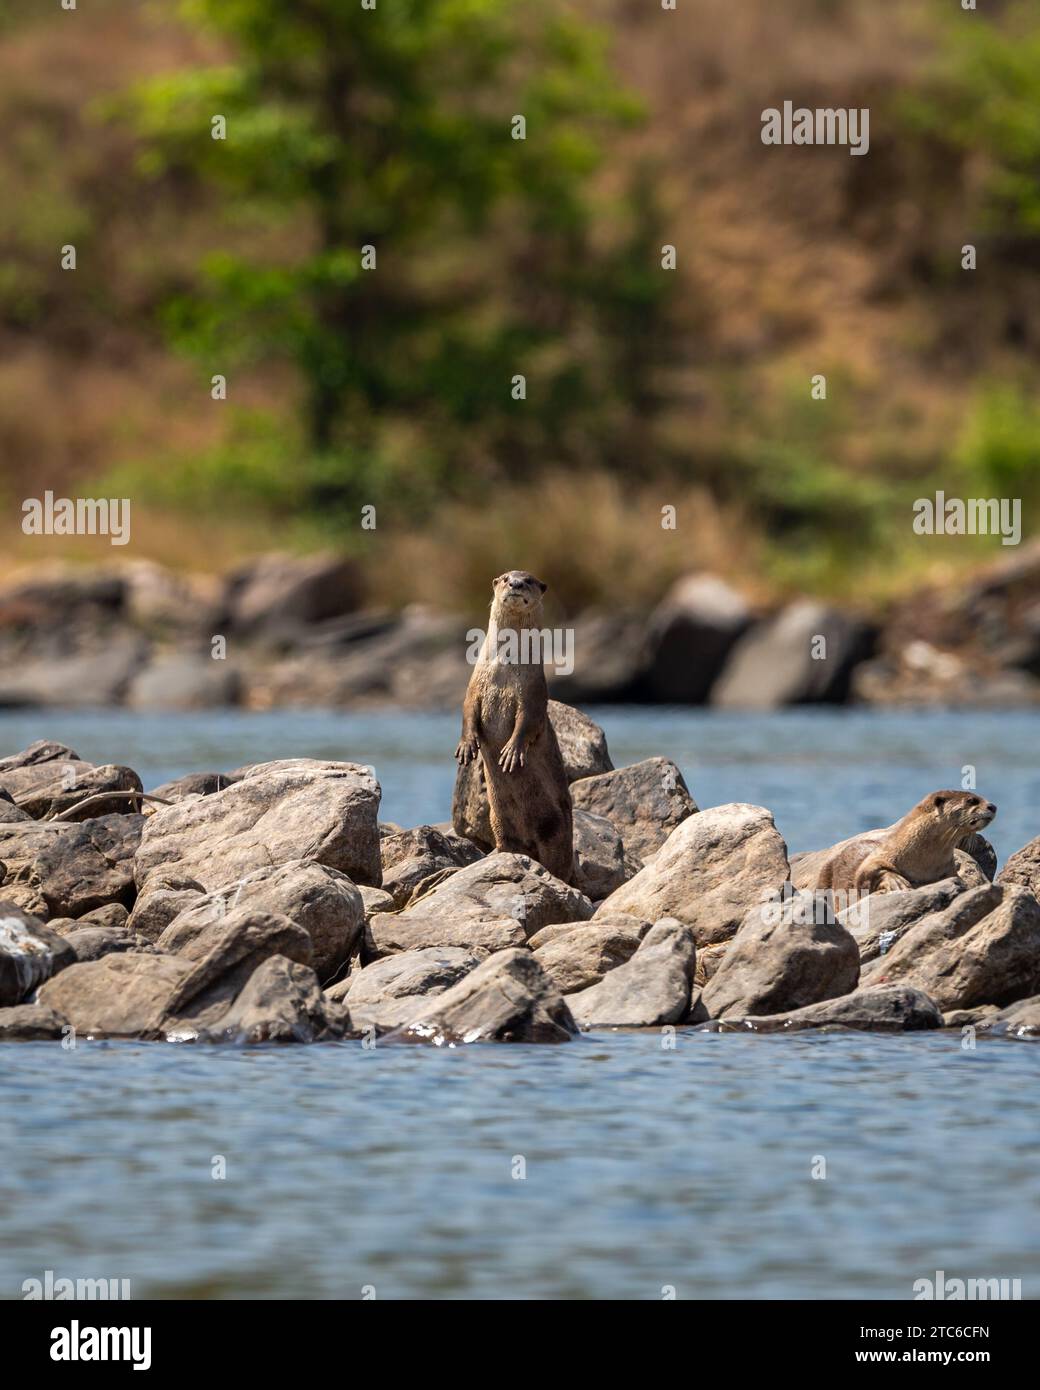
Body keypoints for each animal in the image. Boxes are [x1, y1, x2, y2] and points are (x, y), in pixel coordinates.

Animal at [455, 570, 573, 882]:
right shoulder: (475, 686)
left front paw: (511, 751)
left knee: (557, 857)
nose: (516, 584)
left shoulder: (532, 692)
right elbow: (467, 712)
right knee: (507, 840)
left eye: (529, 580)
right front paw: (467, 746)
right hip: (498, 818)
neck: (505, 669)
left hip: (555, 826)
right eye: (506, 577)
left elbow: (527, 722)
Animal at [816, 790, 997, 896]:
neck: (923, 863)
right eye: (971, 800)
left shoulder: (949, 870)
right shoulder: (877, 860)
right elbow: (868, 873)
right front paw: (896, 882)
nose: (993, 806)